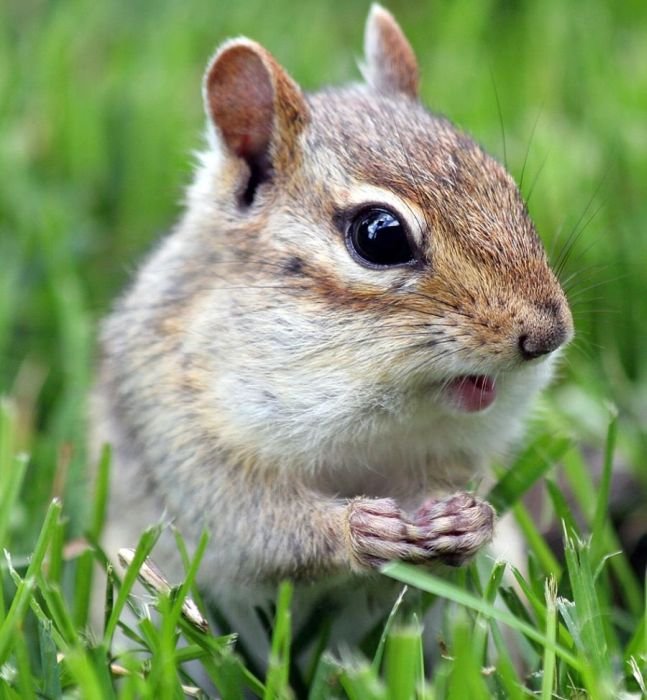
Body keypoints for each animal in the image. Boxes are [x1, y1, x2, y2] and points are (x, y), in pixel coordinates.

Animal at [93, 3, 573, 659]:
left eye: (508, 189)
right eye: (380, 235)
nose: (547, 335)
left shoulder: (459, 450)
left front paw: (468, 520)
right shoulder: (181, 430)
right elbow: (252, 525)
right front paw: (358, 529)